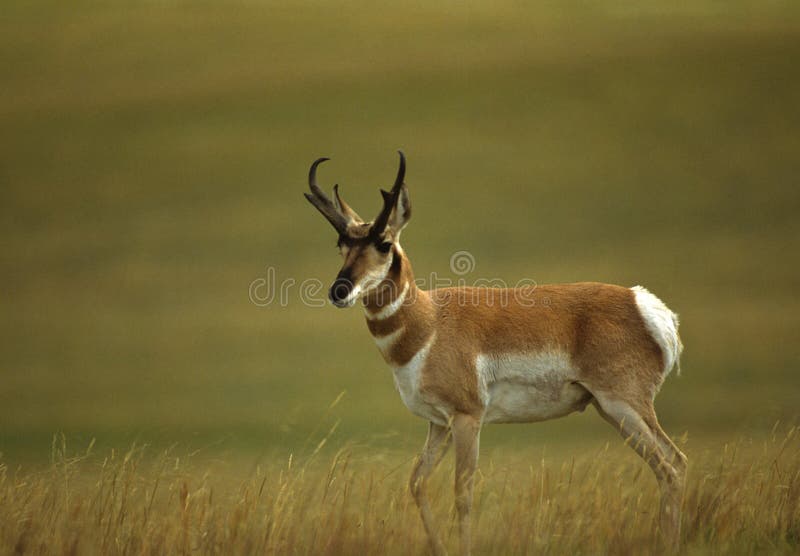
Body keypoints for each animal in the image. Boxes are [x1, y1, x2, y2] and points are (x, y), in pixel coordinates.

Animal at [304, 151, 687, 555]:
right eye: (341, 243)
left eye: (384, 243)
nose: (339, 290)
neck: (429, 322)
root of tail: (644, 304)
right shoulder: (439, 423)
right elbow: (417, 483)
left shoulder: (468, 418)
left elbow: (463, 492)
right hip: (612, 411)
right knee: (672, 466)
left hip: (623, 405)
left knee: (672, 466)